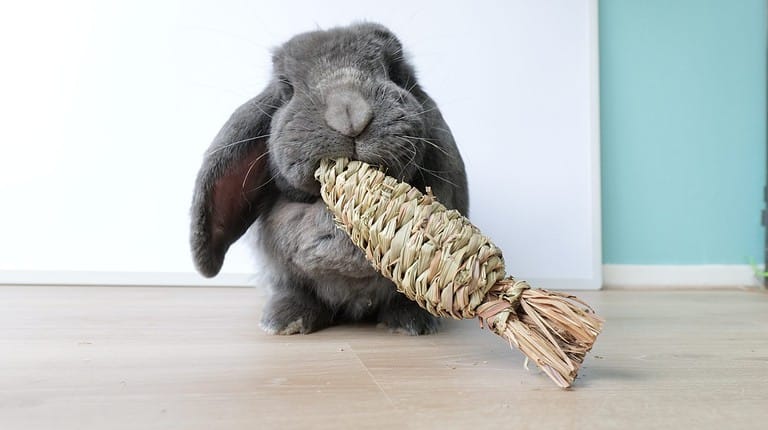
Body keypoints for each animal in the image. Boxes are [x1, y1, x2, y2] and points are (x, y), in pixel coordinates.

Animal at [190, 22, 468, 335]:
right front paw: (285, 321)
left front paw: (410, 322)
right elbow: (293, 289)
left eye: (396, 71)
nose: (349, 113)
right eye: (287, 87)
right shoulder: (282, 271)